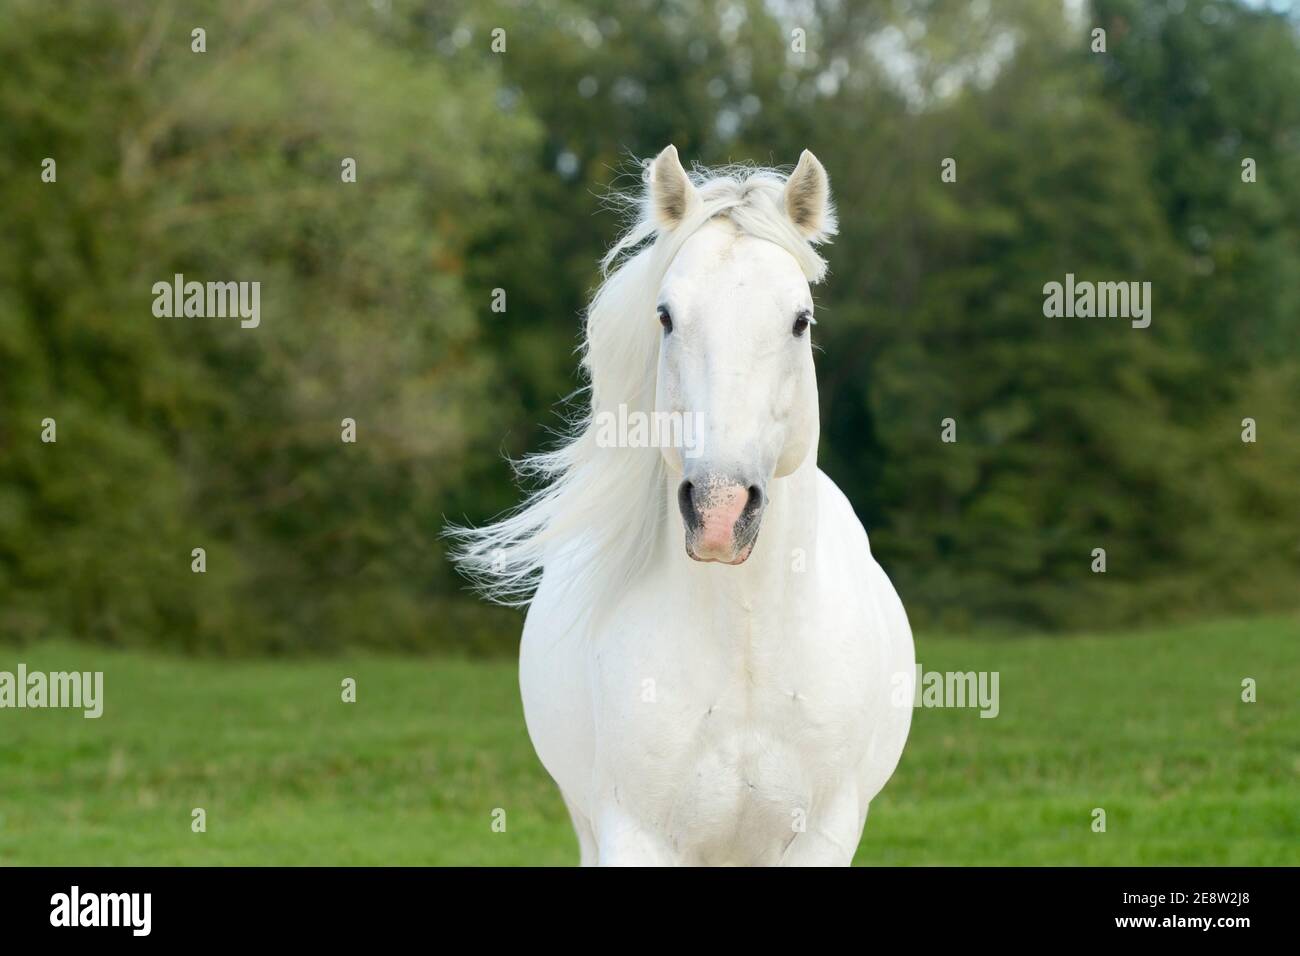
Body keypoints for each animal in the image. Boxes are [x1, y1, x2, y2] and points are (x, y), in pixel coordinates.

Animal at [450, 145, 915, 866]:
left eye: (800, 320)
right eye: (666, 316)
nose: (721, 512)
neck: (746, 642)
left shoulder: (826, 834)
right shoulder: (632, 834)